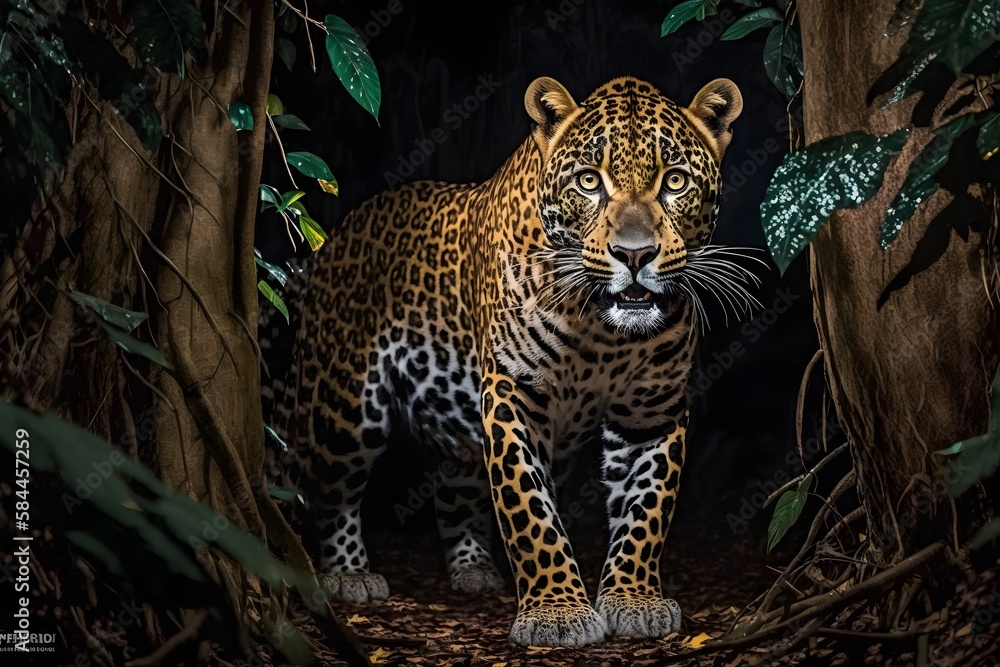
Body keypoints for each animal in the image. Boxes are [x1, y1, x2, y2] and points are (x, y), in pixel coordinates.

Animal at [261, 75, 748, 647]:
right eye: (589, 181)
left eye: (674, 181)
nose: (634, 254)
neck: (603, 331)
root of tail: (328, 241)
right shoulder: (516, 394)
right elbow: (530, 512)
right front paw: (557, 613)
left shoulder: (651, 410)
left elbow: (646, 510)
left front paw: (635, 600)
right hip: (347, 406)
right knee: (330, 490)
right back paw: (347, 573)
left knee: (454, 487)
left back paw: (473, 568)